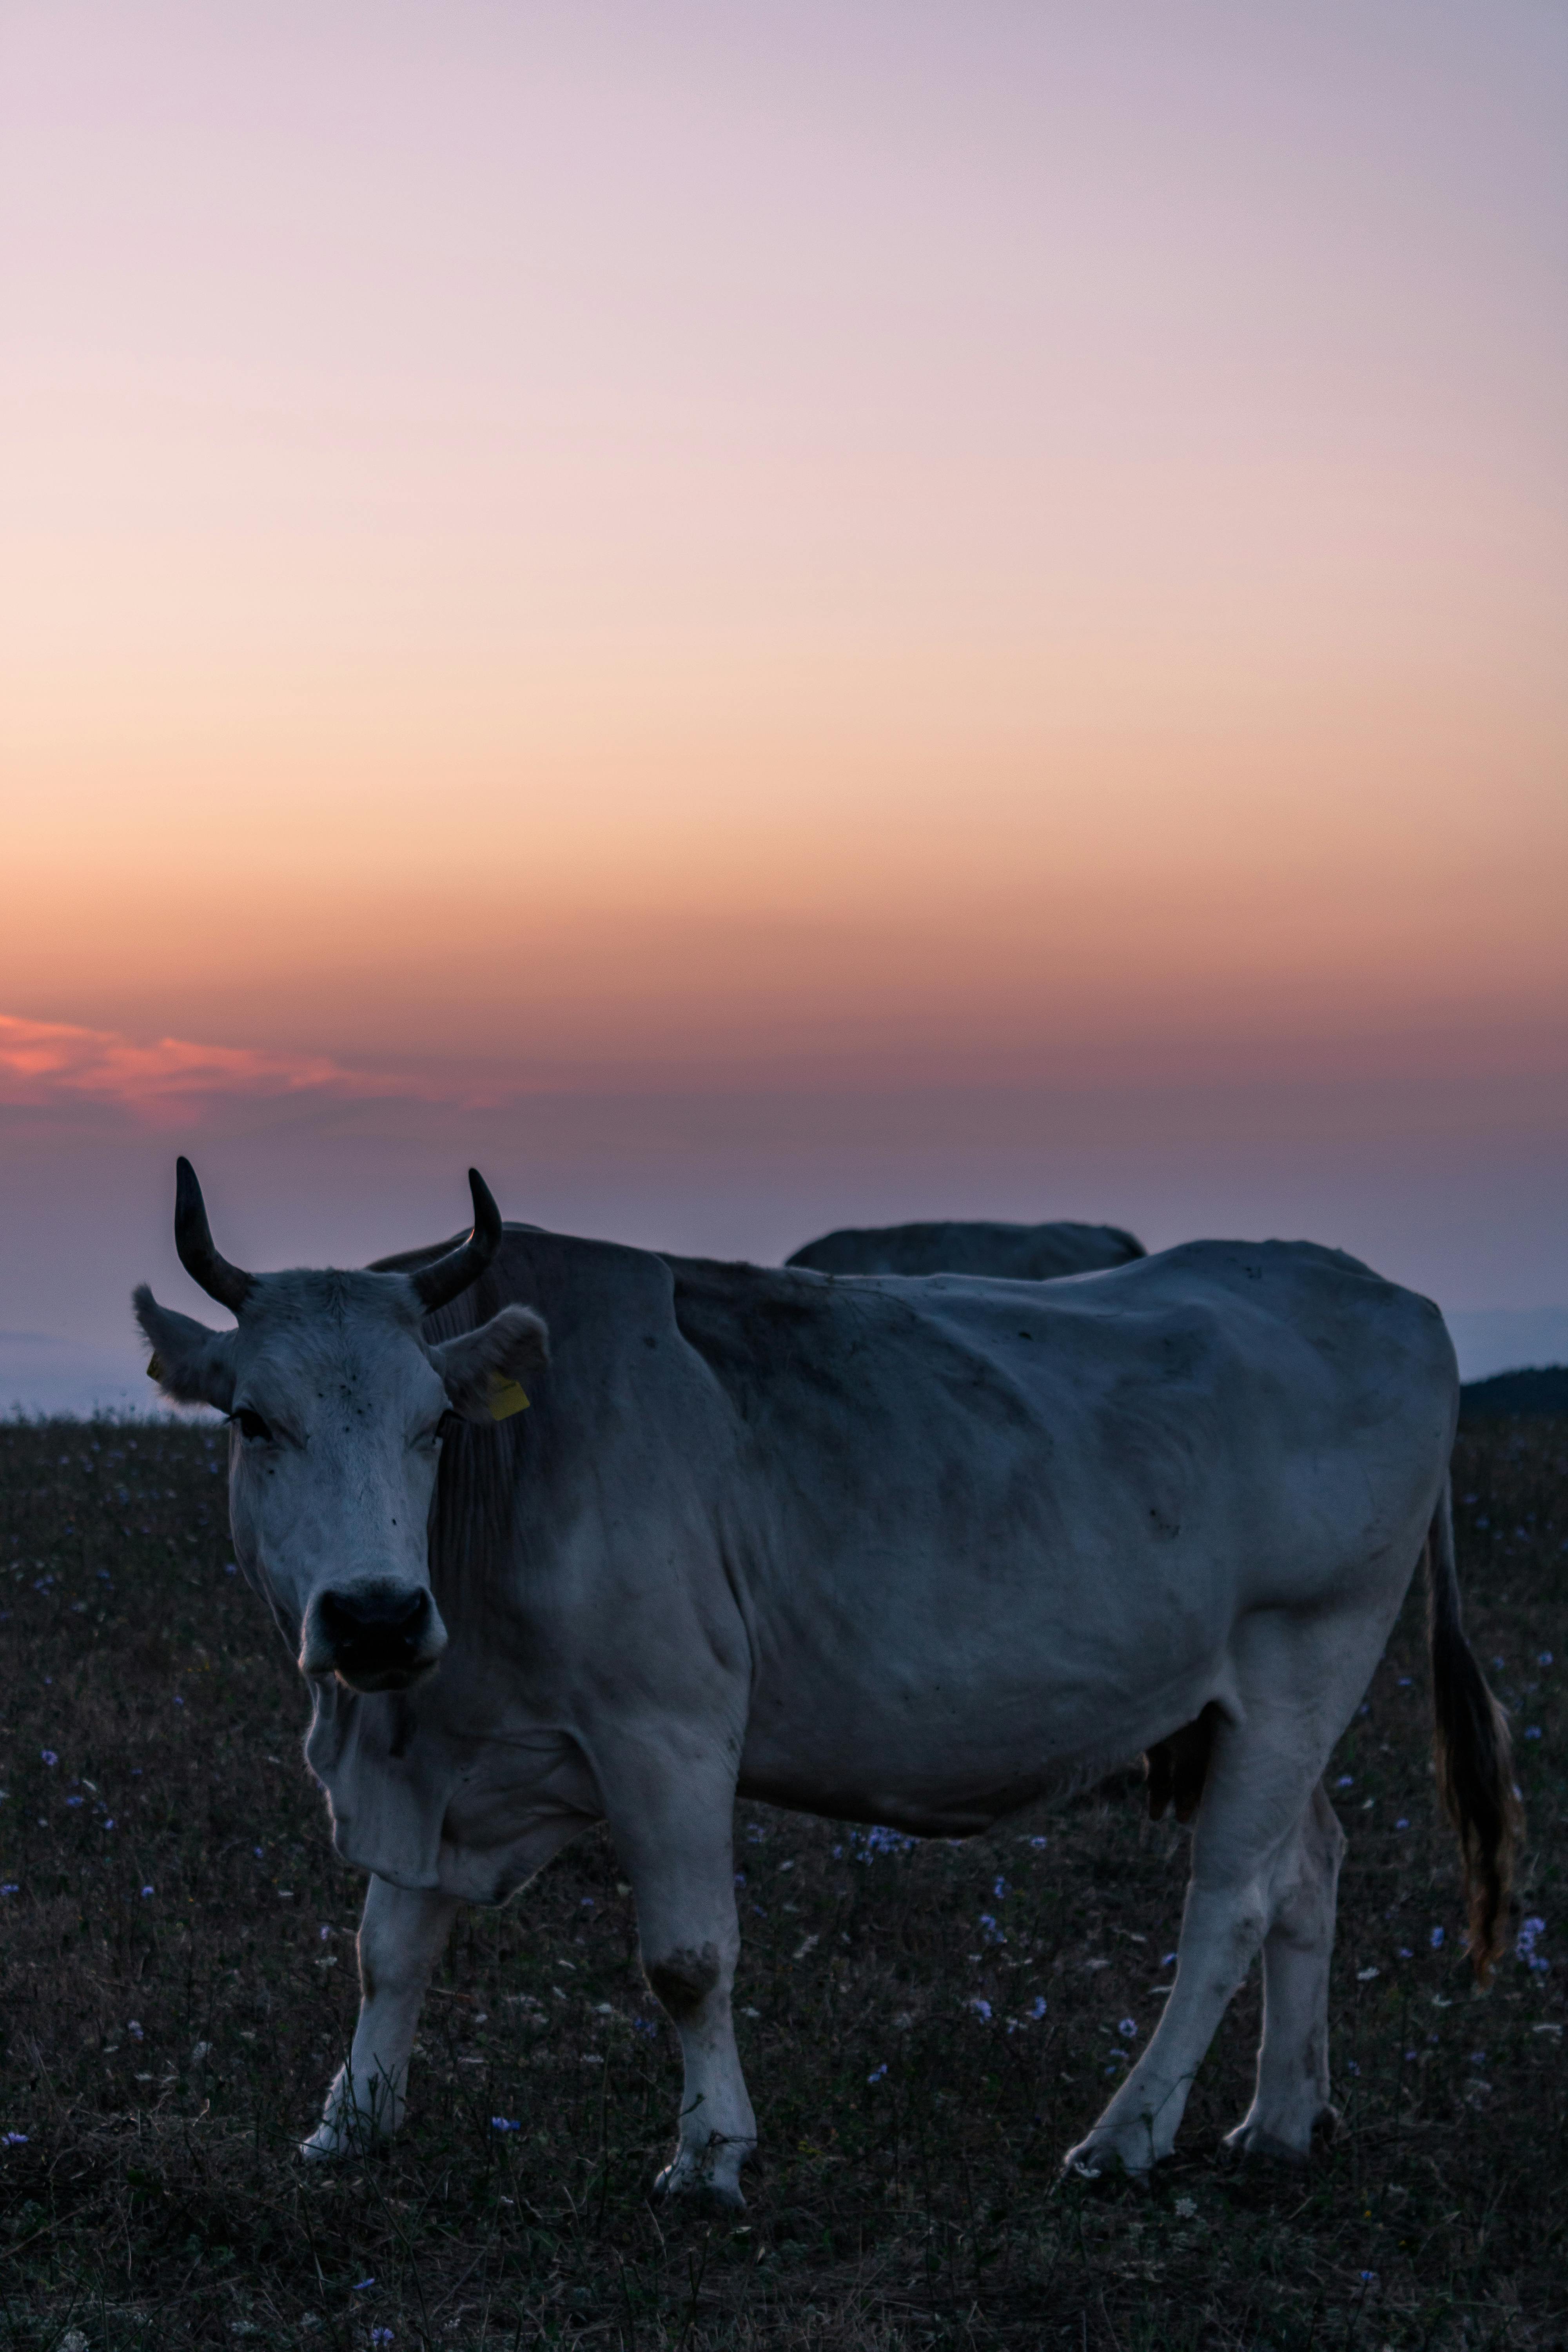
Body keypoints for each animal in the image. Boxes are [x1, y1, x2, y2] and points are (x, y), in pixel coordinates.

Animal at [134, 1161, 1516, 2196]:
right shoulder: (440, 1749)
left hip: (1304, 1657)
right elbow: (390, 1946)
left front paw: (709, 2152)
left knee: (1231, 1899)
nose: (375, 1613)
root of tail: (1378, 1288)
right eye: (252, 1419)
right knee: (1309, 1871)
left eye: (434, 1422)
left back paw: (1124, 2134)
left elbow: (687, 1957)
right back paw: (1280, 2119)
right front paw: (351, 2122)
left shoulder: (669, 1730)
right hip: (1256, 1707)